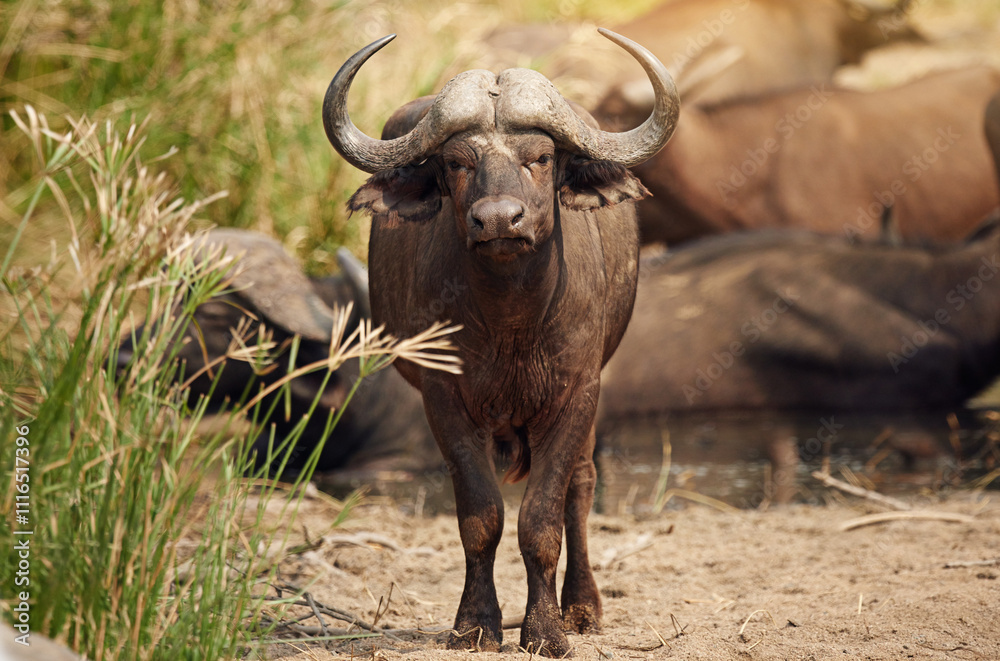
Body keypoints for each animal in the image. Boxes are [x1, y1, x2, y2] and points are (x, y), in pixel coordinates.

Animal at [322, 30, 678, 656]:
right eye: (456, 163)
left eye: (541, 158)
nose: (498, 221)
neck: (513, 323)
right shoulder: (444, 399)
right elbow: (480, 516)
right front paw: (475, 625)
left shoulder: (577, 392)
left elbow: (542, 519)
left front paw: (547, 631)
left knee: (581, 487)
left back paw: (582, 607)